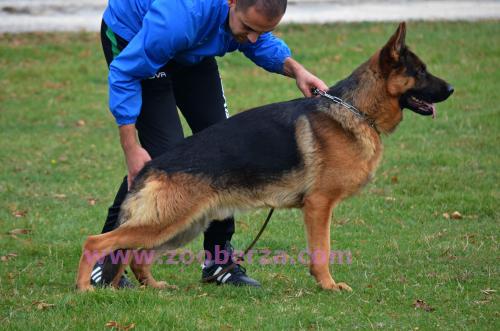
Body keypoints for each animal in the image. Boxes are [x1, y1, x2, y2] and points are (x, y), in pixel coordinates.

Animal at [76, 23, 456, 292]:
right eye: (420, 72)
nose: (452, 89)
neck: (356, 110)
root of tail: (151, 165)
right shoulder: (319, 206)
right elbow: (322, 251)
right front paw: (328, 285)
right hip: (167, 223)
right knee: (97, 242)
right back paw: (85, 288)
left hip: (181, 226)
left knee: (137, 256)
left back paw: (152, 286)